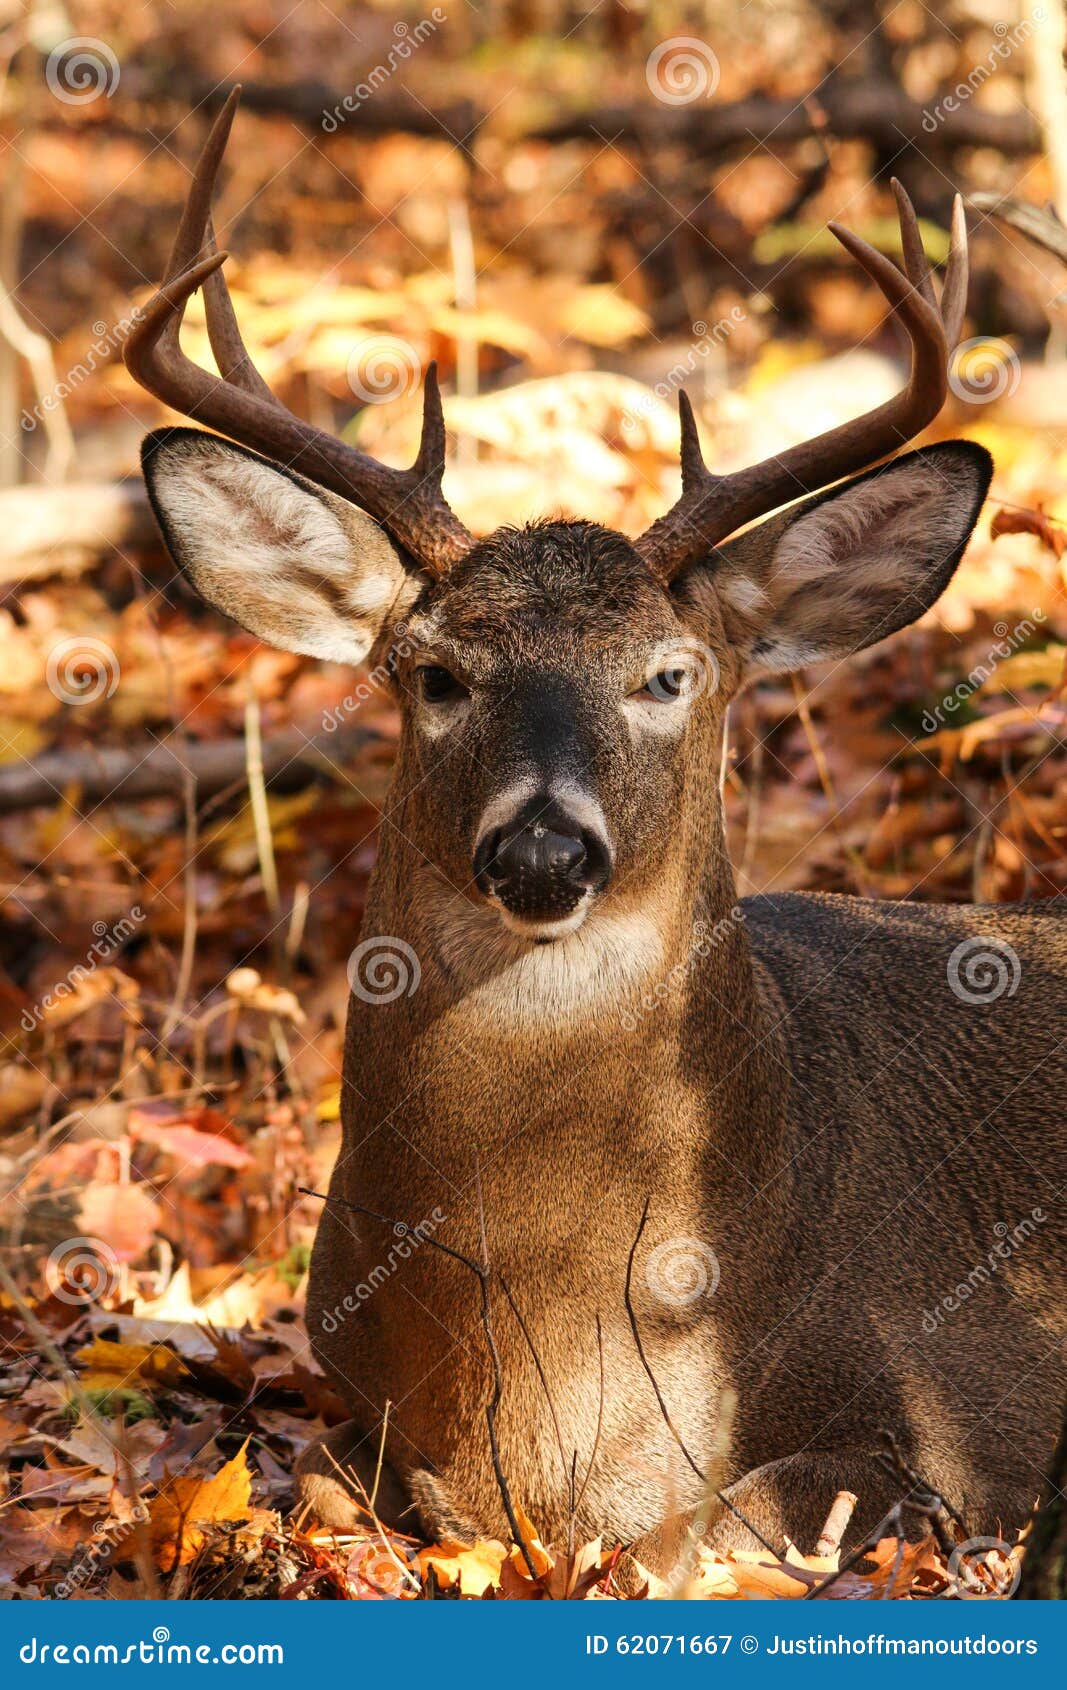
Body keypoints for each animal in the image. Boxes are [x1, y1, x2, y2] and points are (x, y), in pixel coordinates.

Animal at [126, 92, 1065, 1568]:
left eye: (668, 675)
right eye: (436, 674)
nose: (541, 851)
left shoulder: (946, 1424)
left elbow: (675, 1541)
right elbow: (324, 1485)